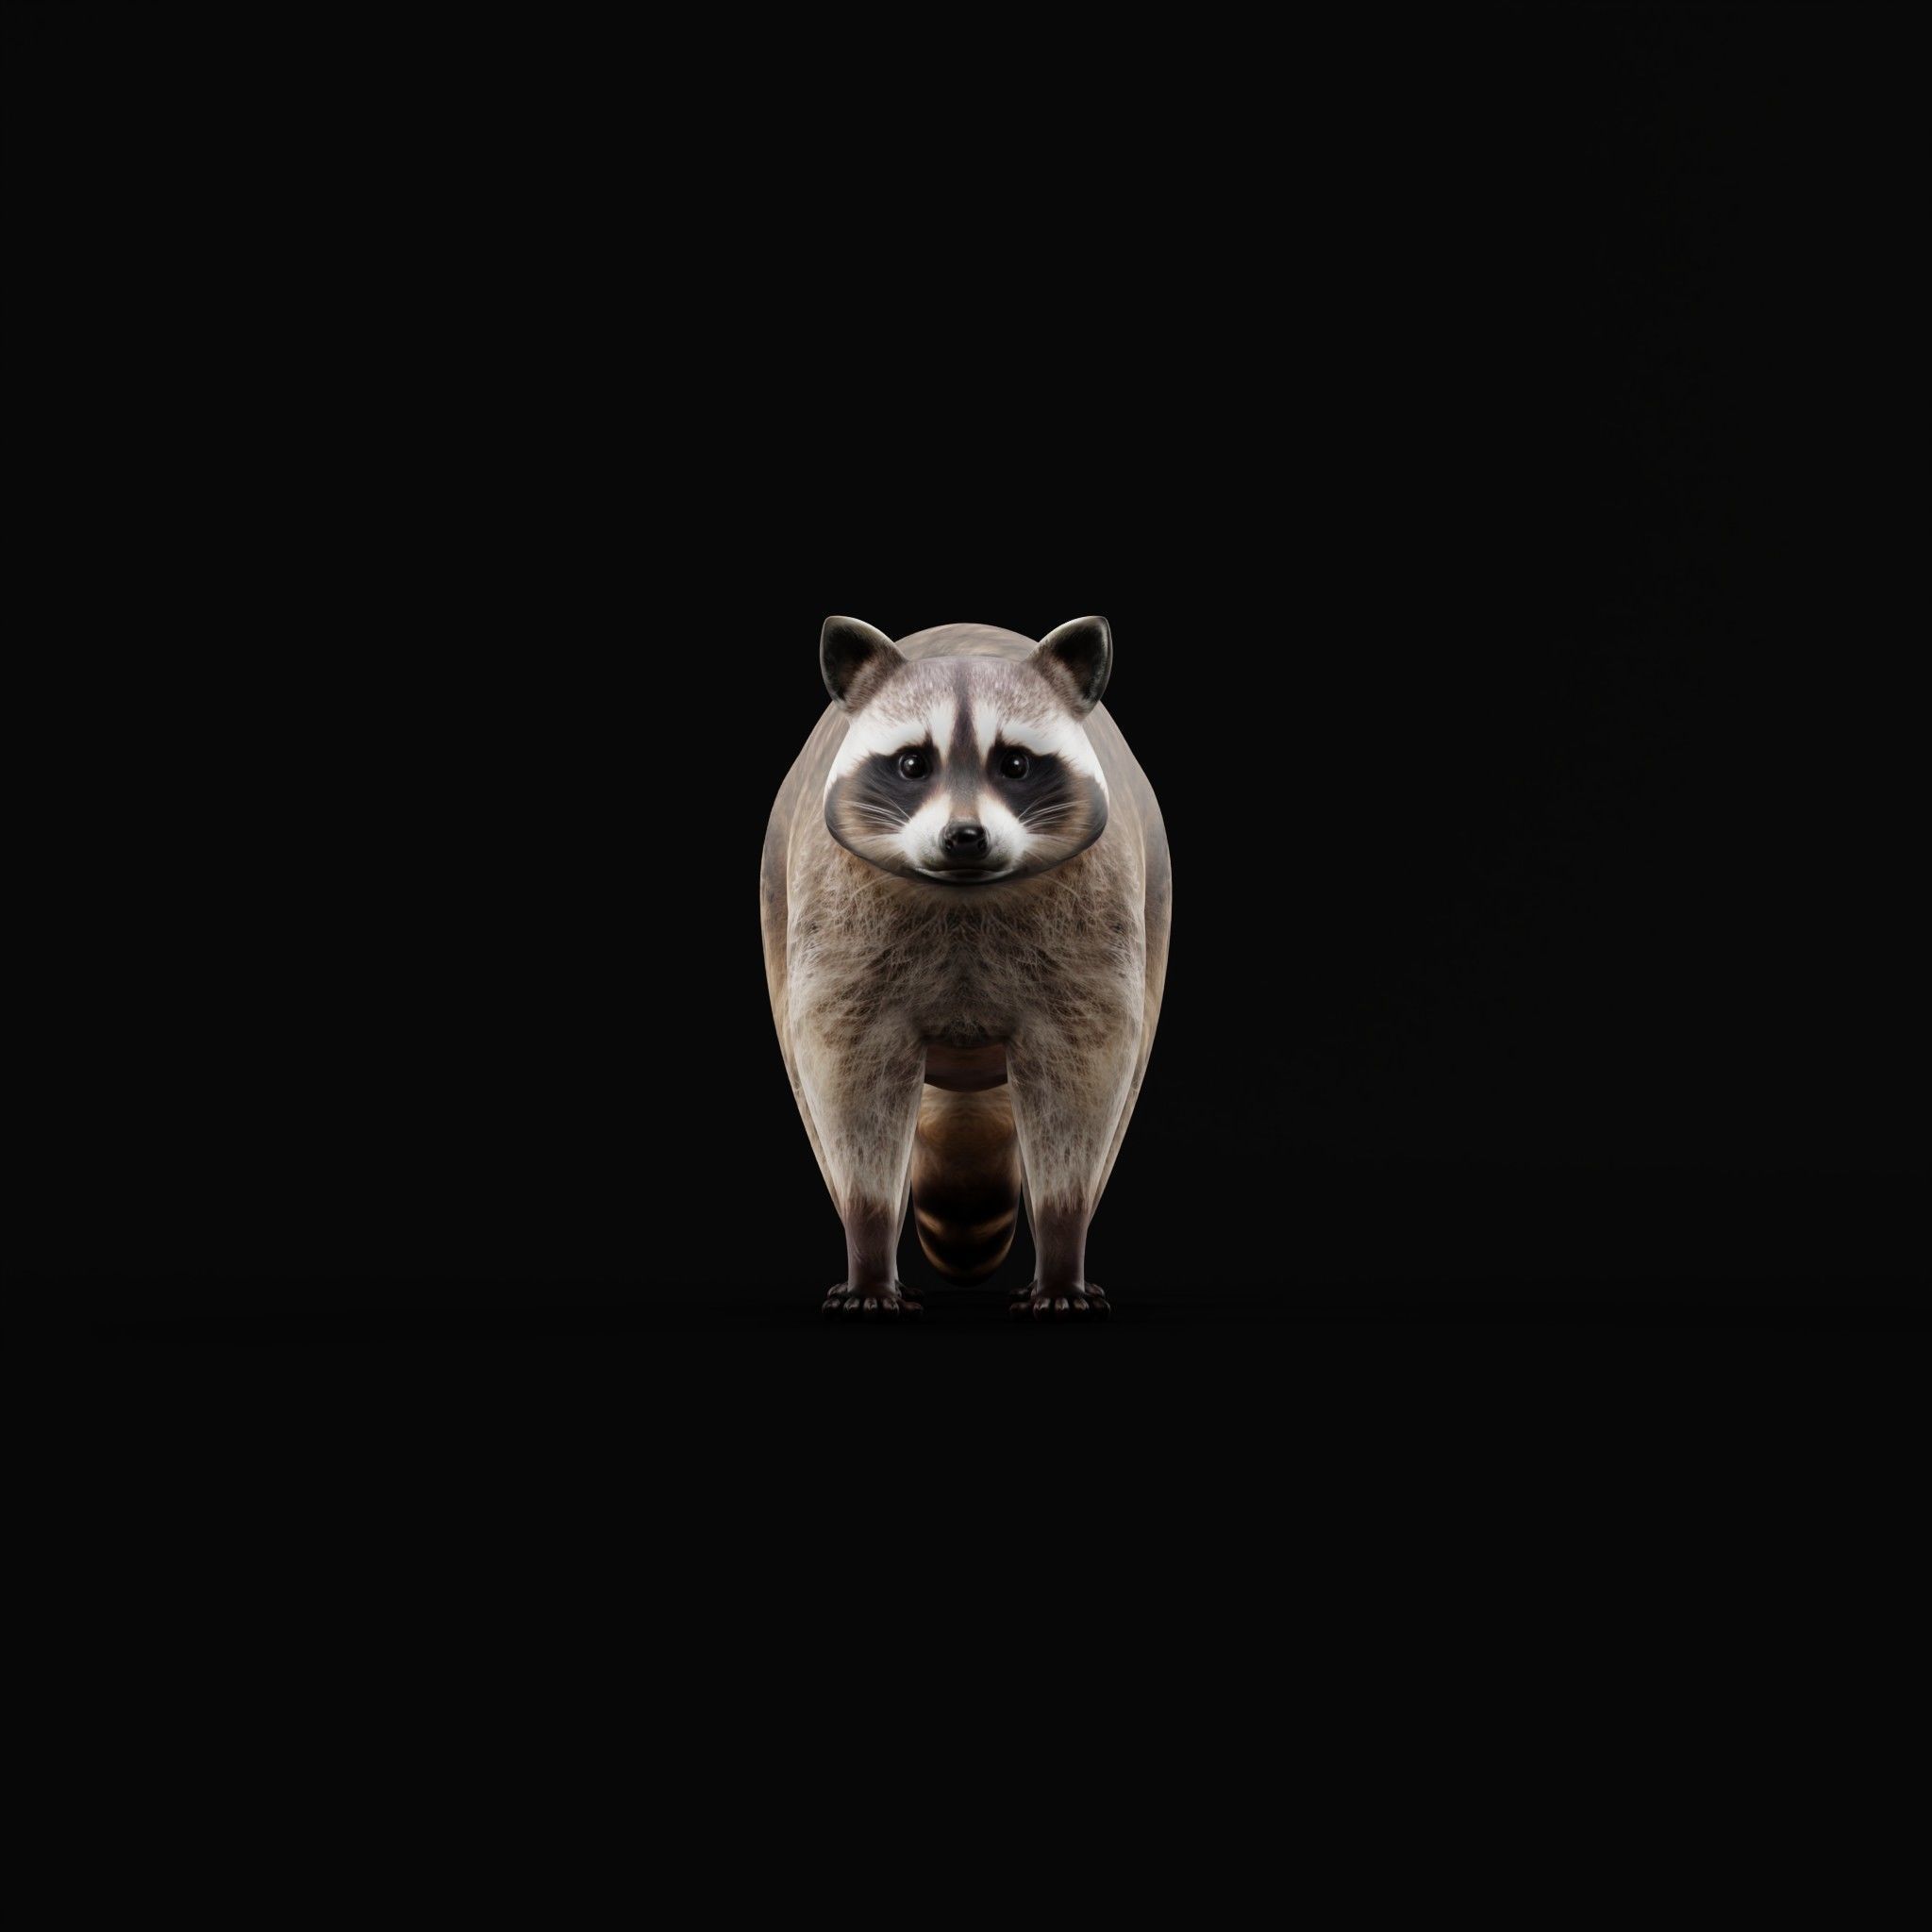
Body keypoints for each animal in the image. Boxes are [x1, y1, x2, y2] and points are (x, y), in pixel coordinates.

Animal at [760, 617, 1172, 1318]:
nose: (964, 838)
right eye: (912, 764)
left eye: (1015, 764)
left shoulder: (1099, 913)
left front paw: (1062, 1247)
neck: (964, 891)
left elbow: (1083, 1080)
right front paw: (869, 1249)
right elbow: (849, 1080)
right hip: (775, 902)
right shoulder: (833, 913)